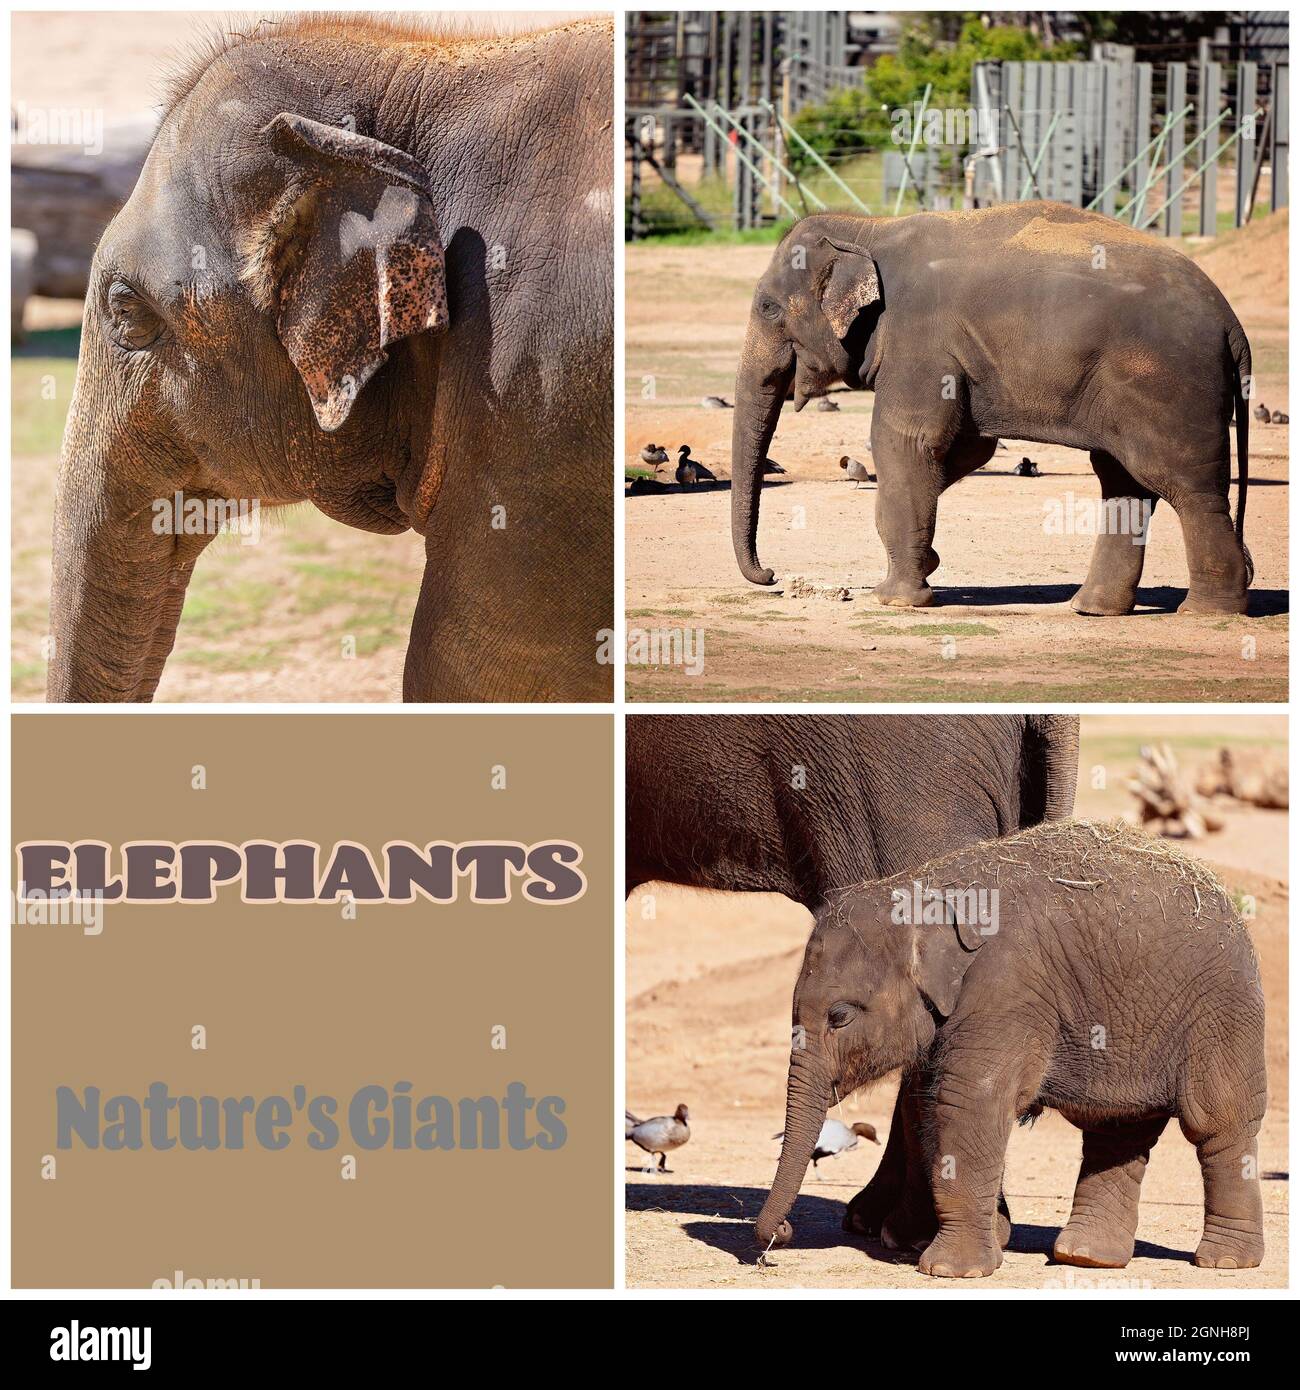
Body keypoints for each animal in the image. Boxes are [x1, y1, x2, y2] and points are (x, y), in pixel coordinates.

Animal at [730, 201, 1253, 616]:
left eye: (768, 308)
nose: (773, 575)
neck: (868, 228)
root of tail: (1230, 321)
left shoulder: (919, 340)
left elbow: (905, 443)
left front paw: (896, 598)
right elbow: (965, 450)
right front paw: (928, 562)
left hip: (1170, 385)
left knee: (1186, 487)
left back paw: (1207, 613)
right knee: (1123, 482)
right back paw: (1093, 609)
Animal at [755, 820, 1267, 1276]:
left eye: (840, 1016)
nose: (780, 1236)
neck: (923, 886)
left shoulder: (1008, 986)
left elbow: (968, 1100)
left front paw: (950, 1270)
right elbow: (927, 1104)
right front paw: (921, 1240)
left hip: (1224, 1011)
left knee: (1217, 1122)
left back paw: (1224, 1262)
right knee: (1117, 1129)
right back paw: (1086, 1258)